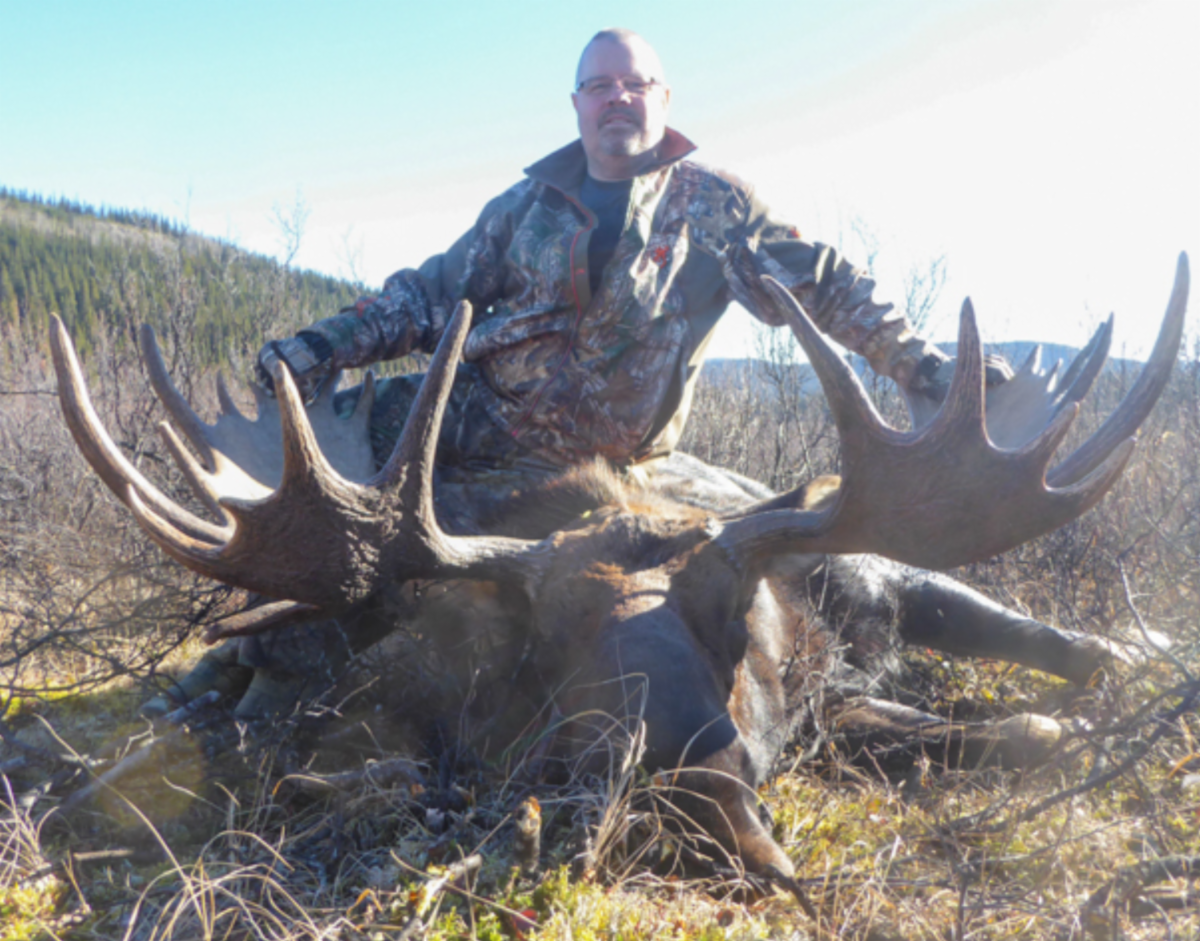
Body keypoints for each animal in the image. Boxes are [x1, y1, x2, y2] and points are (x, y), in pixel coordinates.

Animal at [49, 256, 1188, 907]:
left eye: (735, 614)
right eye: (539, 636)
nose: (698, 799)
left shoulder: (849, 631)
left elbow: (1036, 697)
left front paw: (1097, 692)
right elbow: (988, 726)